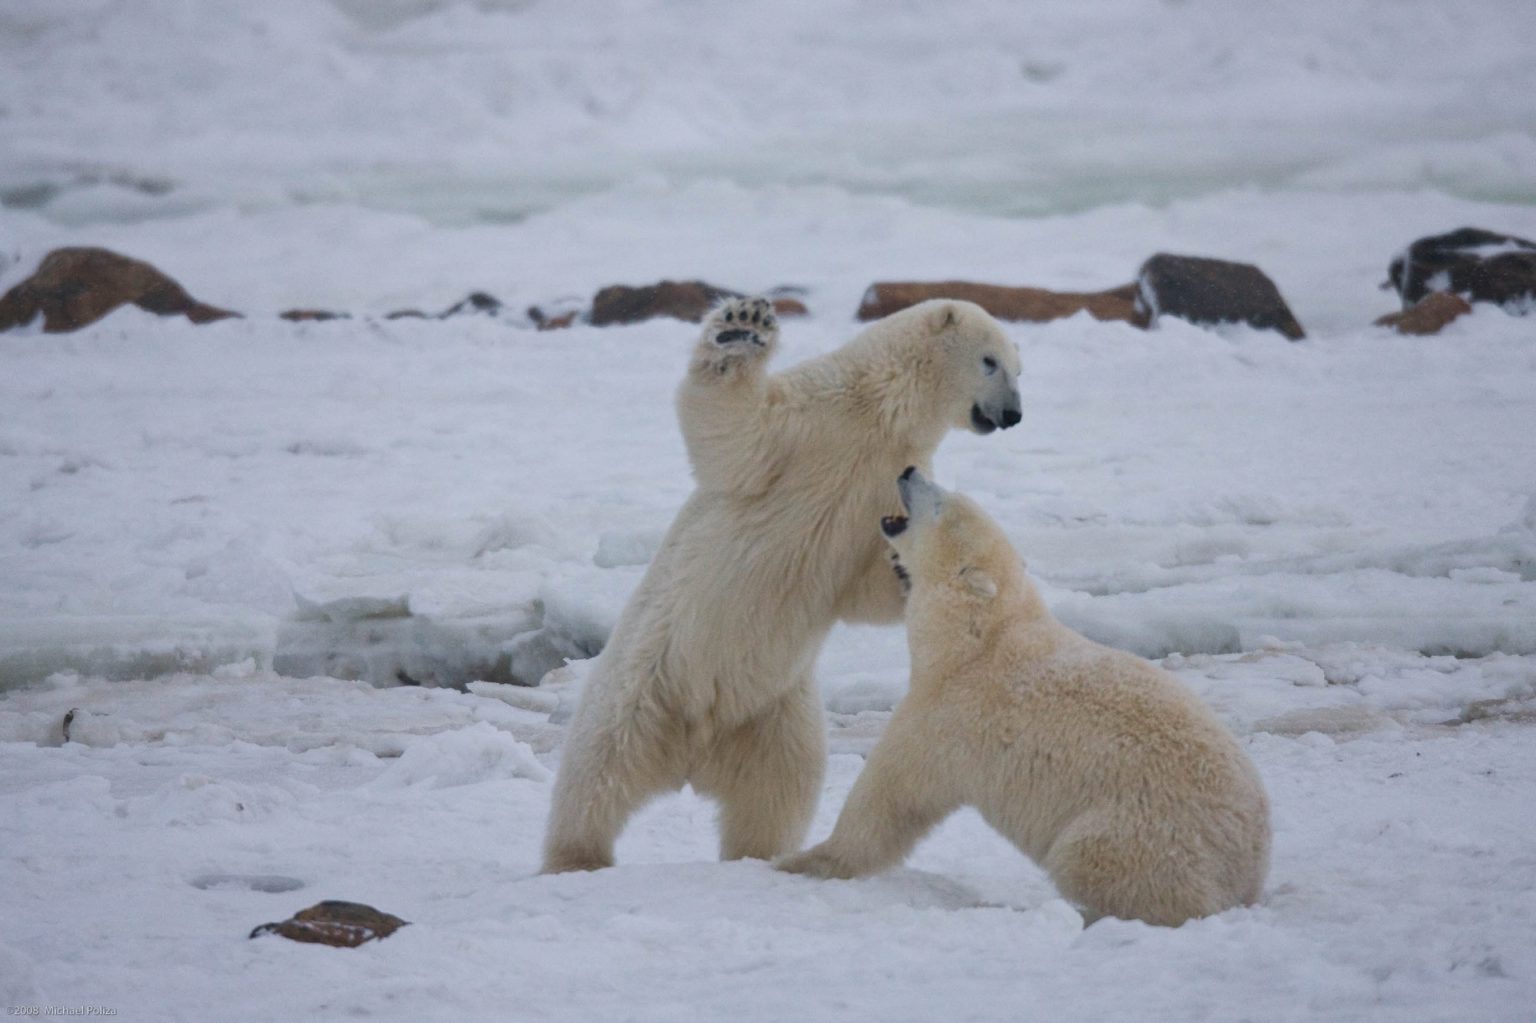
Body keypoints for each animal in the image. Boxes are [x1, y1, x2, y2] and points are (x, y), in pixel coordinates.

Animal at [542, 296, 1023, 873]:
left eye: (1020, 369)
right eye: (991, 361)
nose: (1014, 415)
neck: (878, 413)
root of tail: (692, 752)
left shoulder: (891, 475)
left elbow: (861, 587)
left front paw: (906, 568)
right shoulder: (808, 416)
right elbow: (735, 432)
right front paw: (741, 328)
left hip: (776, 713)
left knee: (778, 793)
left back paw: (756, 855)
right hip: (643, 683)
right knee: (595, 774)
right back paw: (576, 858)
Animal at [777, 469, 1271, 927]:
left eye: (941, 504)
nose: (909, 471)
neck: (977, 638)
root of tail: (1249, 870)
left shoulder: (949, 710)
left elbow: (890, 794)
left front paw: (804, 861)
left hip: (1143, 832)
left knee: (1094, 860)